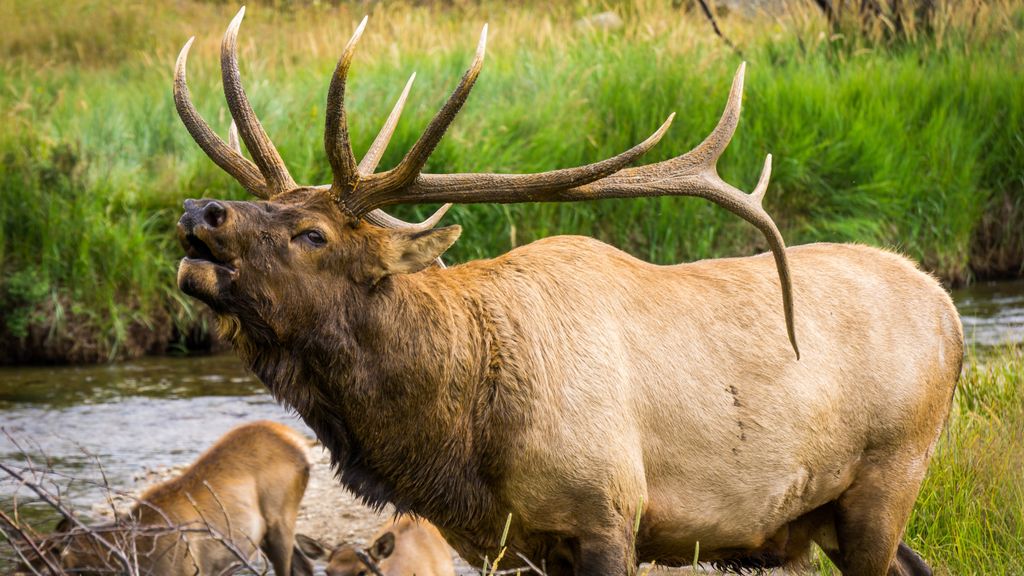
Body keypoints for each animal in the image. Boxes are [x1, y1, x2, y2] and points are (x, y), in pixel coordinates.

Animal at [26, 421, 313, 575]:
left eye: (40, 568)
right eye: (23, 560)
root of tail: (301, 441)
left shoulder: (186, 568)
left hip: (281, 516)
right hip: (264, 533)